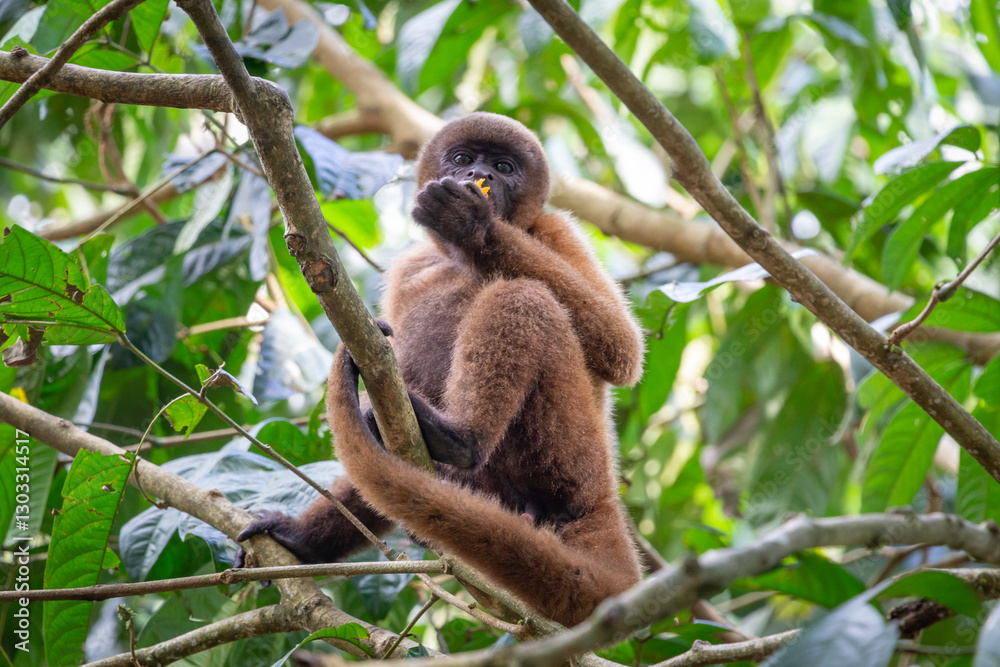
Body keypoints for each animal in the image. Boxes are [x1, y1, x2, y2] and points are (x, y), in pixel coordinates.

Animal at [237, 112, 645, 626]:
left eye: (504, 167)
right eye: (462, 158)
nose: (479, 175)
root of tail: (605, 499)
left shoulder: (556, 230)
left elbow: (621, 349)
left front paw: (470, 224)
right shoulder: (409, 269)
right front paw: (299, 540)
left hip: (575, 455)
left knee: (523, 295)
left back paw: (459, 439)